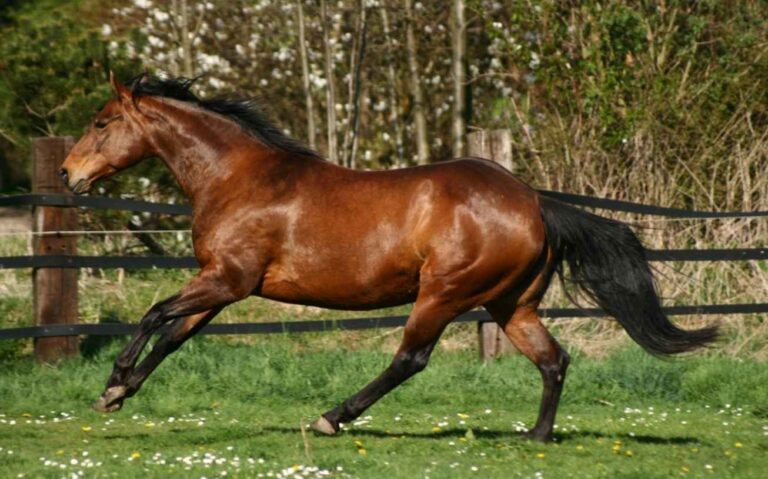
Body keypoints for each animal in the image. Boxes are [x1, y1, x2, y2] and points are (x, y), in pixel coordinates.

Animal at [60, 72, 717, 442]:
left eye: (102, 121)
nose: (68, 175)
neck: (239, 178)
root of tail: (534, 200)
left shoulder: (229, 279)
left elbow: (153, 315)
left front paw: (113, 382)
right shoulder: (220, 284)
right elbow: (174, 335)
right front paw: (119, 393)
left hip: (444, 294)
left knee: (410, 359)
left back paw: (333, 417)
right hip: (512, 306)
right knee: (553, 361)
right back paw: (535, 437)